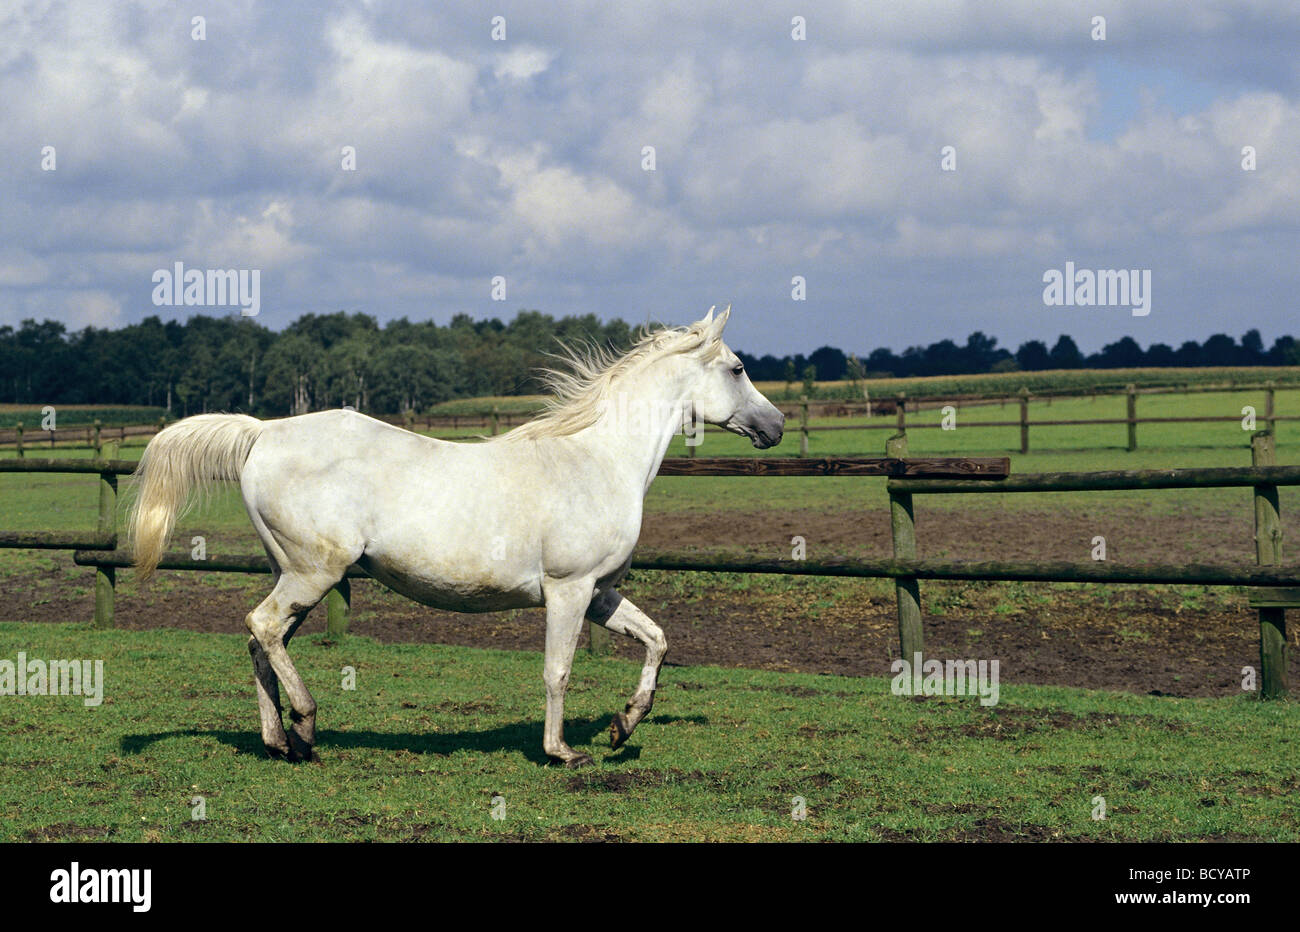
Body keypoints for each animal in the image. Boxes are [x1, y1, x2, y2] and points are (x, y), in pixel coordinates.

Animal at [128, 306, 784, 767]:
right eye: (738, 368)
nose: (775, 425)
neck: (596, 459)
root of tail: (263, 431)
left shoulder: (599, 594)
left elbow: (657, 641)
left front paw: (625, 724)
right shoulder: (568, 591)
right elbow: (558, 670)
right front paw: (563, 752)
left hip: (292, 572)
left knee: (260, 641)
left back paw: (278, 742)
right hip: (315, 572)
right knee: (262, 629)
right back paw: (307, 727)